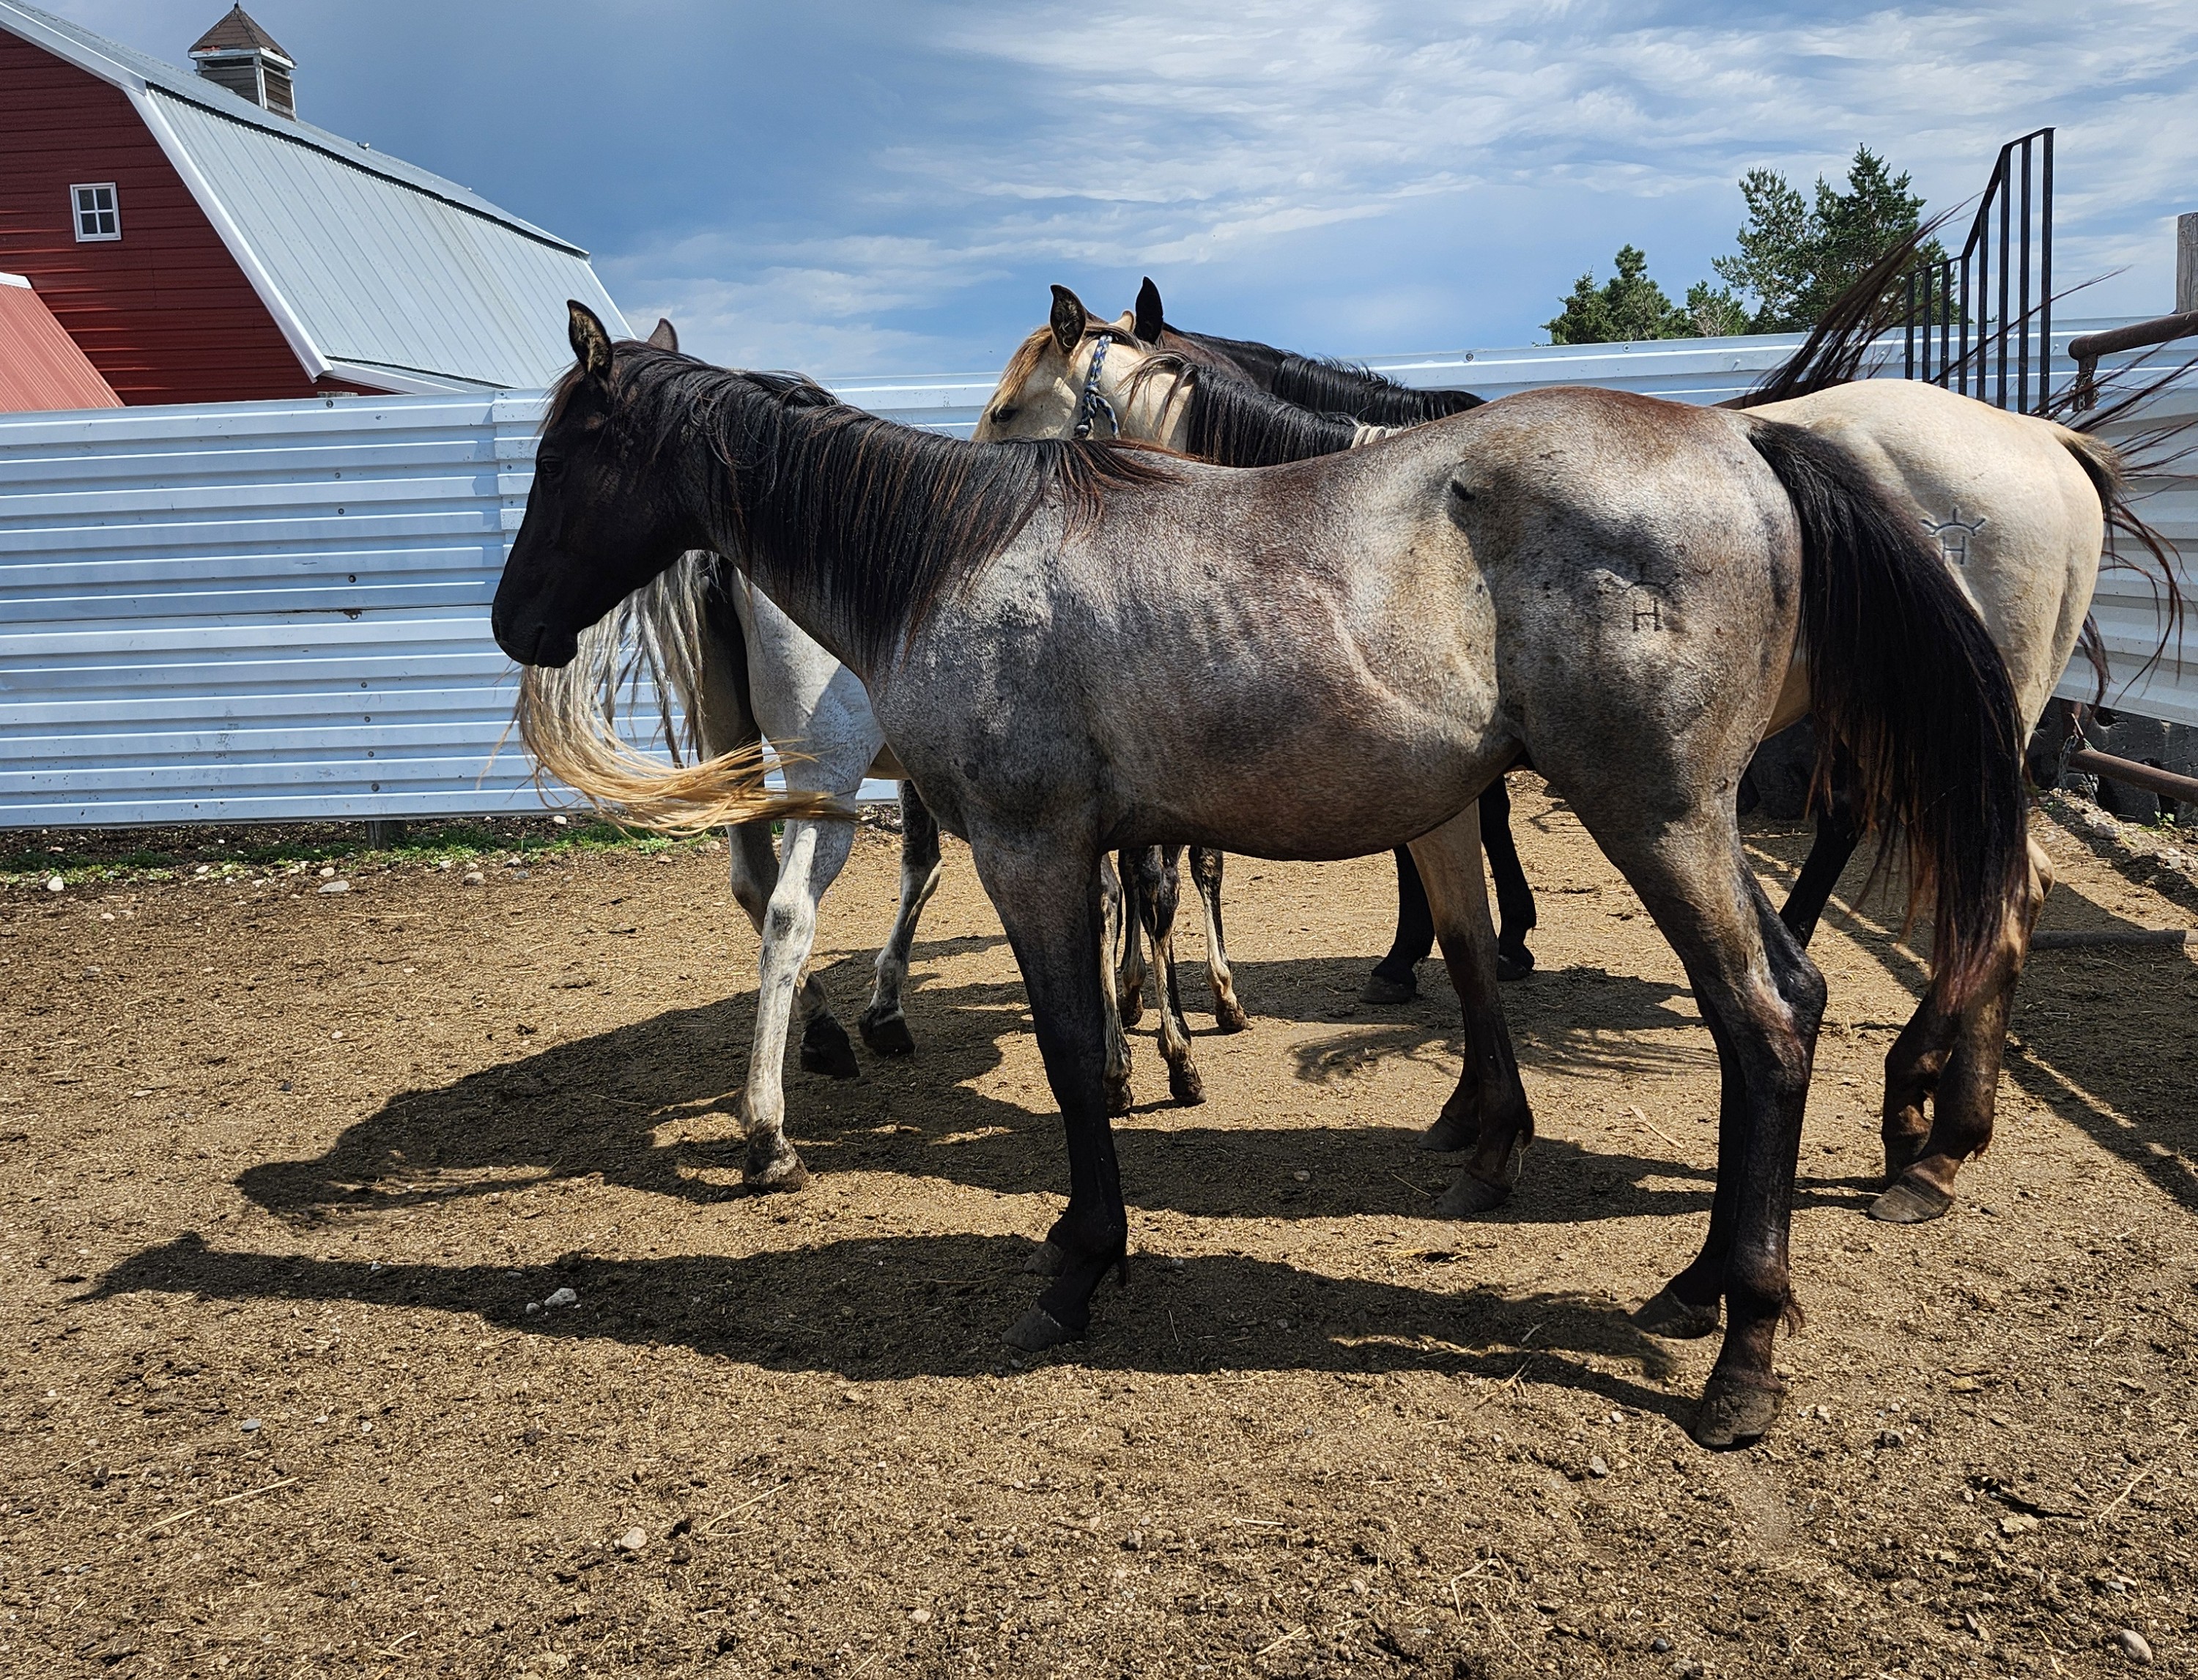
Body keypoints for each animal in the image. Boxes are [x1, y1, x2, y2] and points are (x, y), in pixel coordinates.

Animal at [493, 301, 2027, 1447]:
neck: (955, 555)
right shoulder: (1112, 842)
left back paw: (1744, 1354)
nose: (512, 620)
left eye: (564, 455)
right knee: (1789, 995)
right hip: (1687, 821)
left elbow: (1073, 1055)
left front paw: (1079, 1263)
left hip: (1655, 815)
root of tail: (1747, 441)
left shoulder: (1031, 846)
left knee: (1760, 1025)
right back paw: (1705, 1279)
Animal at [991, 282, 2126, 1225]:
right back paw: (1921, 1108)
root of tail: (2044, 439)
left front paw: (1437, 979)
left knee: (2002, 885)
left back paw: (1930, 1135)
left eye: (1008, 410)